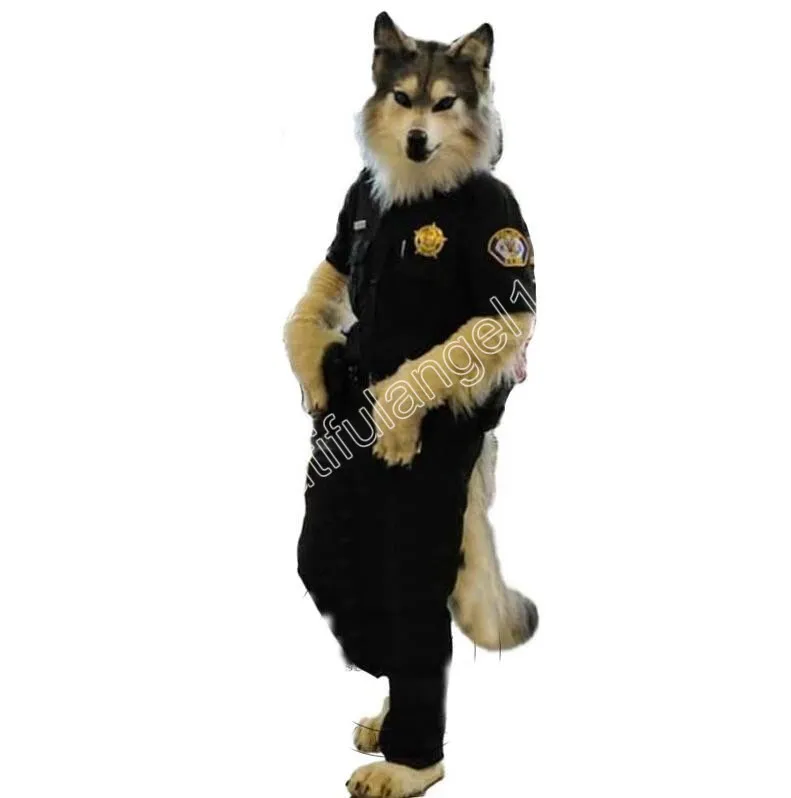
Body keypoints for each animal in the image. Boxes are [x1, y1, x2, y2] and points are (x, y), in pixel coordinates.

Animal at [285, 12, 539, 797]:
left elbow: (422, 368)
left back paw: (410, 761)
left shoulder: (504, 270)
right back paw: (388, 723)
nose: (419, 138)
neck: (420, 190)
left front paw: (395, 425)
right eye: (403, 99)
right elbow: (310, 309)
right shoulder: (344, 242)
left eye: (446, 102)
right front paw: (311, 375)